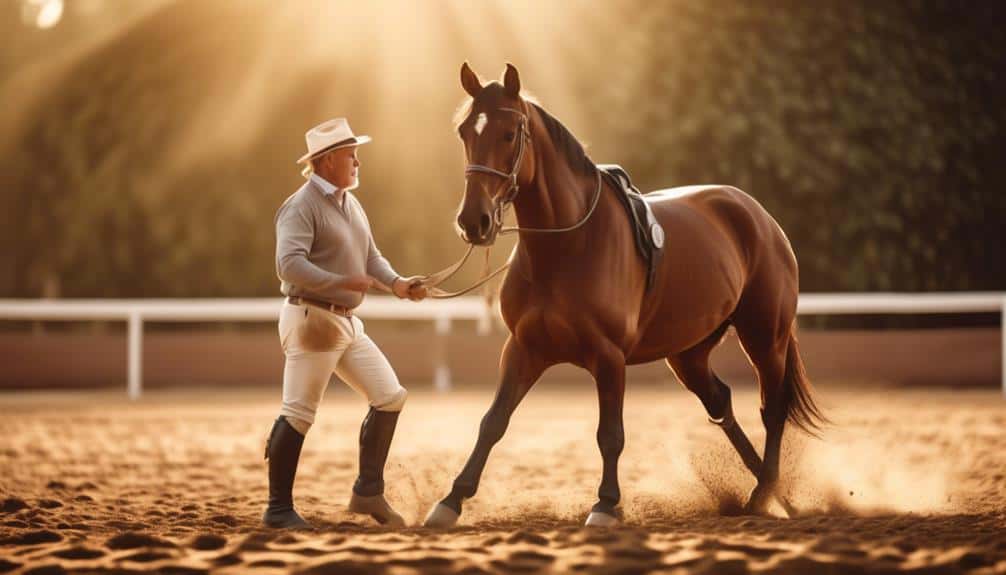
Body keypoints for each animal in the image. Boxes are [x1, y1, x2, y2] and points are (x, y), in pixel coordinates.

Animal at [423, 62, 826, 528]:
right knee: (721, 401)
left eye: (509, 133)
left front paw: (606, 504)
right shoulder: (524, 348)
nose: (475, 221)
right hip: (688, 354)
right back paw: (773, 493)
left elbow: (610, 435)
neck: (566, 246)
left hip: (764, 337)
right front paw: (451, 500)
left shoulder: (609, 356)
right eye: (464, 132)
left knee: (772, 409)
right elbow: (493, 422)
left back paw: (763, 494)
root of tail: (758, 216)